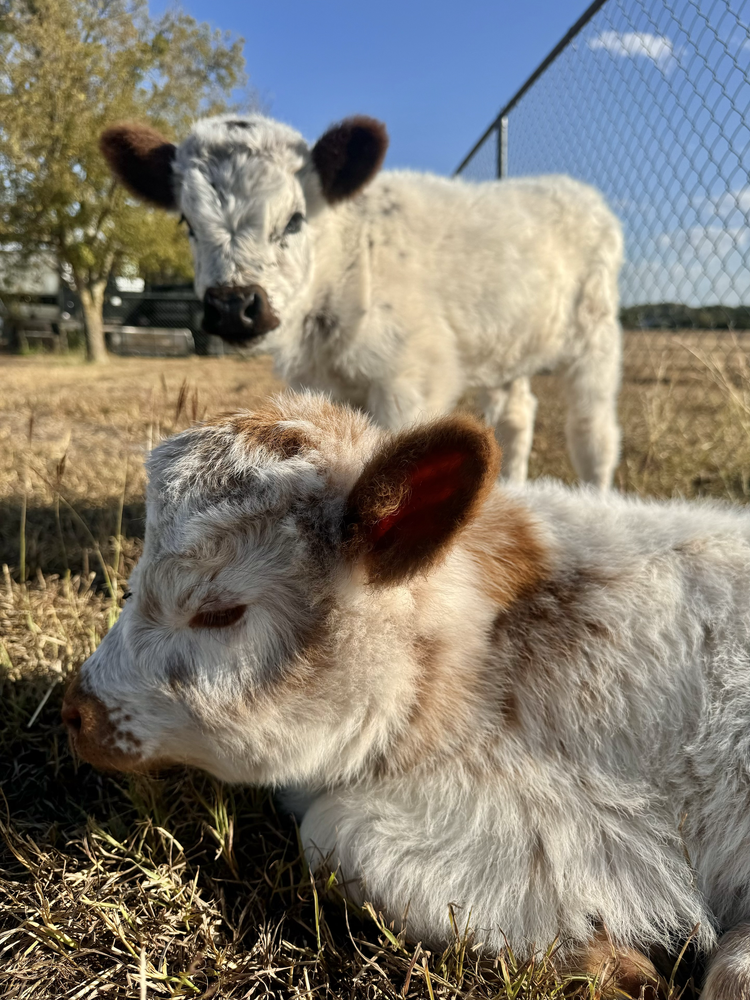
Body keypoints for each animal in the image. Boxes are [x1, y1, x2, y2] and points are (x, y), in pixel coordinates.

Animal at [99, 113, 623, 488]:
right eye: (187, 223)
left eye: (294, 220)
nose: (233, 305)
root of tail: (577, 191)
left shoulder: (411, 380)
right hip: (506, 346)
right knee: (516, 418)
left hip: (596, 331)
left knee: (592, 433)